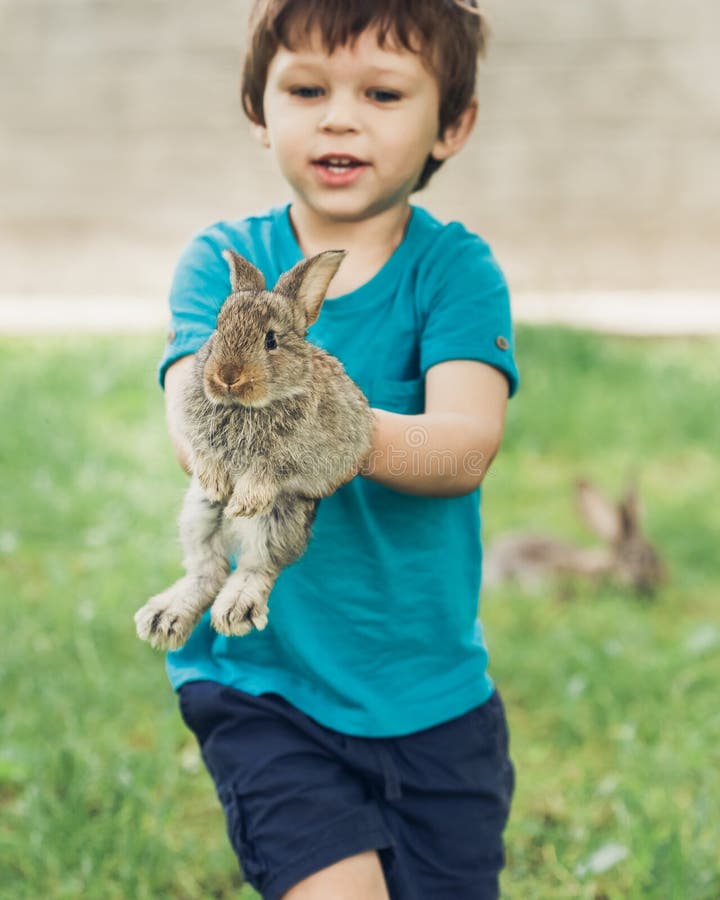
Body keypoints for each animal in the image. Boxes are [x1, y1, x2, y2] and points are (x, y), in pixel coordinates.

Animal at [135, 249, 375, 650]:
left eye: (271, 341)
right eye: (218, 330)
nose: (228, 376)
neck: (245, 407)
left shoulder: (312, 455)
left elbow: (273, 467)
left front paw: (244, 501)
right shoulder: (196, 436)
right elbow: (205, 455)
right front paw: (217, 483)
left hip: (279, 520)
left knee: (257, 566)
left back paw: (235, 609)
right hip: (198, 514)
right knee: (209, 569)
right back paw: (165, 616)